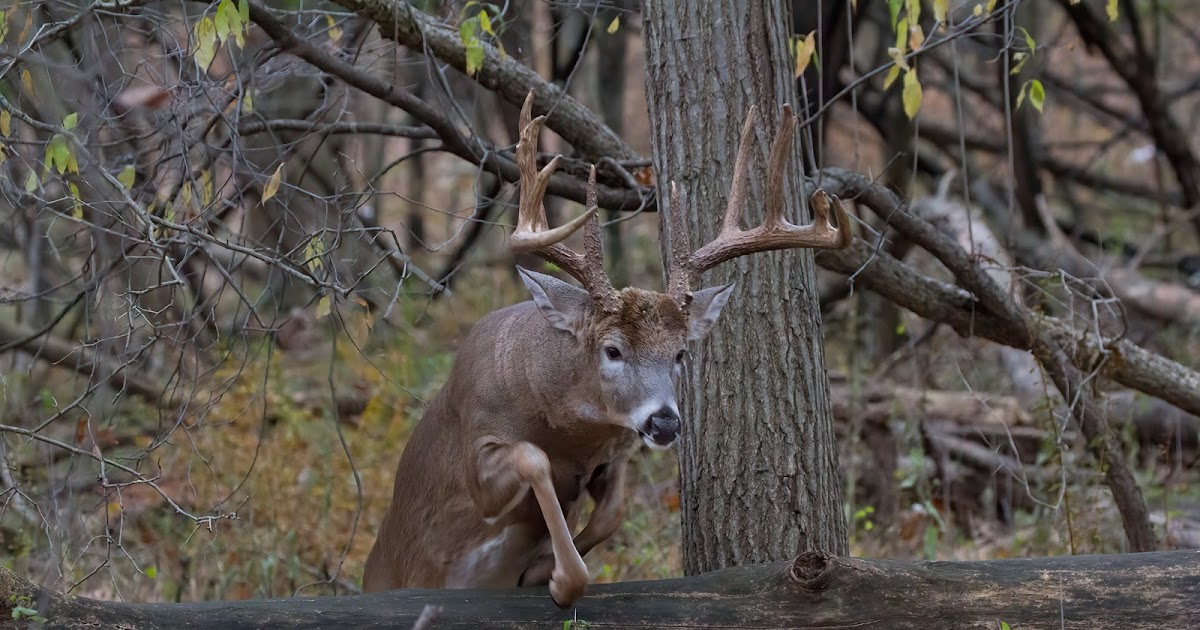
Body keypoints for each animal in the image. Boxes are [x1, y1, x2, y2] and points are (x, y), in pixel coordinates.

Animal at [361, 91, 852, 608]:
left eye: (680, 353)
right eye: (613, 350)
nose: (664, 422)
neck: (566, 425)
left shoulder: (610, 455)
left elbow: (613, 510)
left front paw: (542, 568)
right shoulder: (480, 460)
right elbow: (533, 461)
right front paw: (560, 576)